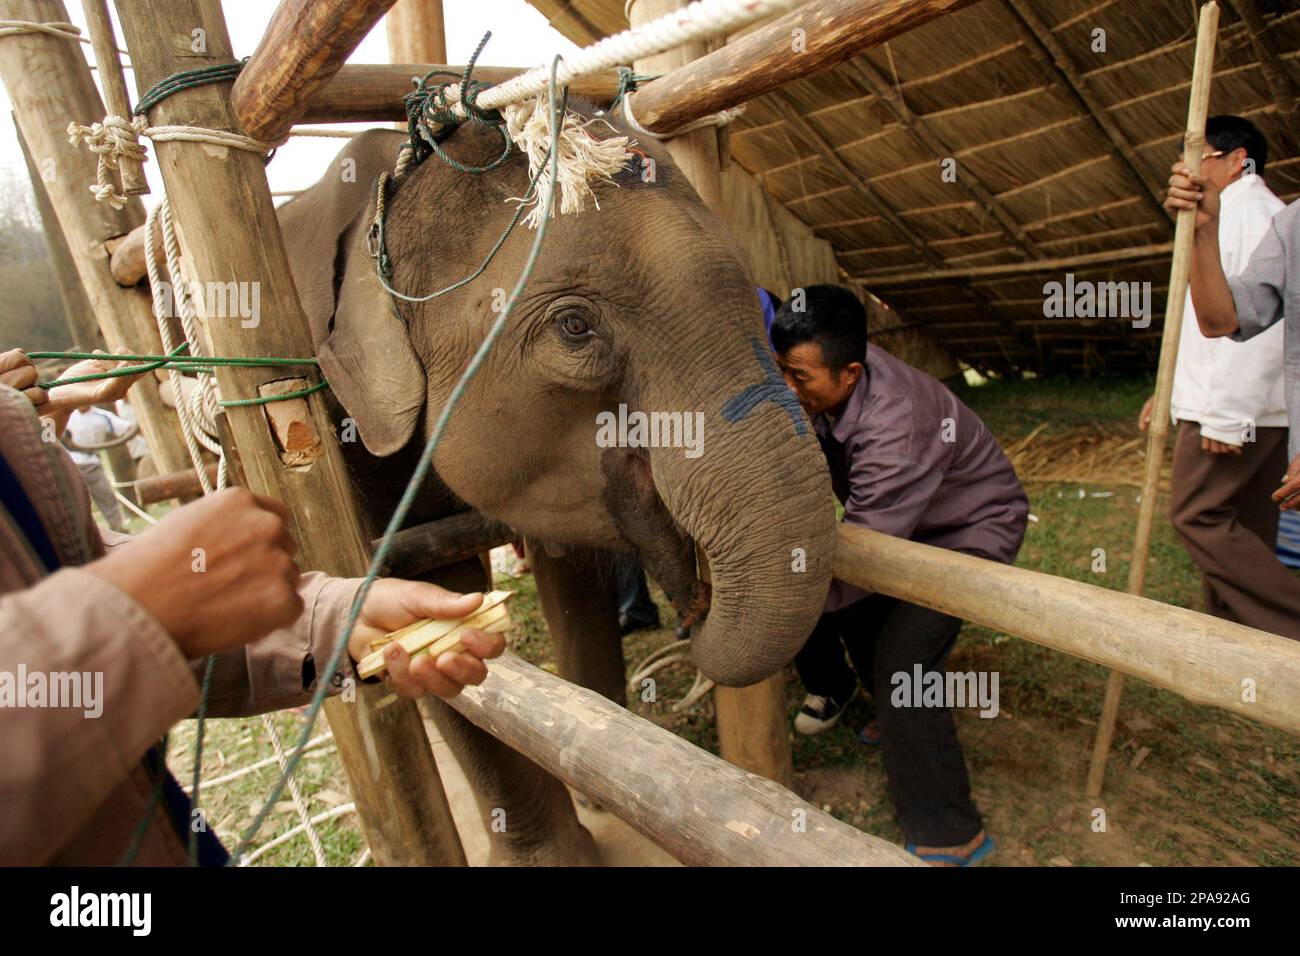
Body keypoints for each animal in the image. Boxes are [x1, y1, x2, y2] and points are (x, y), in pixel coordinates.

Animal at [276, 99, 838, 865]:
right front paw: (558, 853)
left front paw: (597, 778)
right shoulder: (346, 426)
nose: (696, 611)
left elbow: (570, 571)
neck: (390, 189)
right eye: (575, 327)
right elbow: (426, 592)